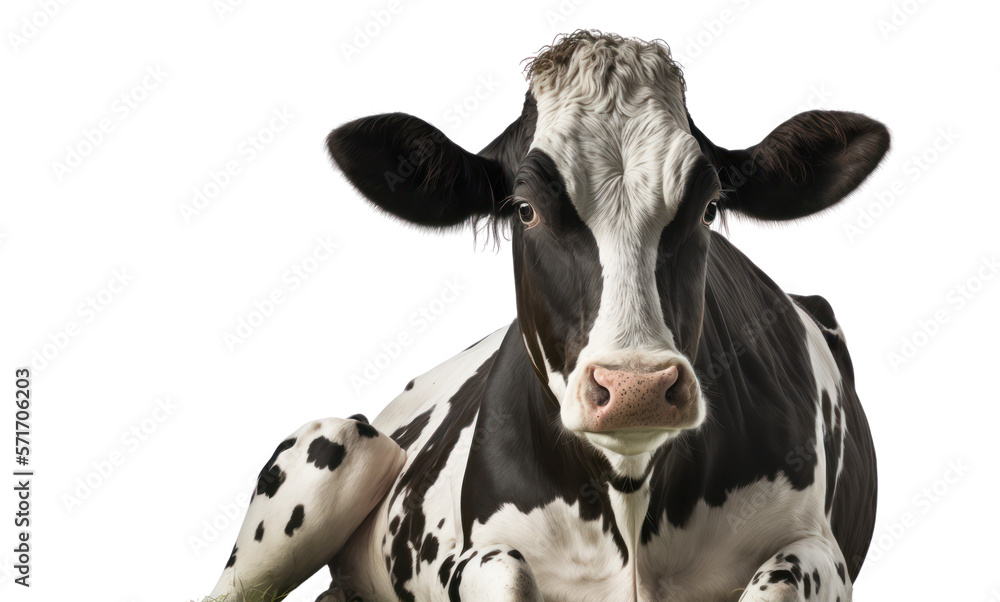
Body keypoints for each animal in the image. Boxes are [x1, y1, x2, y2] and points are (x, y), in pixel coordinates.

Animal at [203, 31, 887, 602]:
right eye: (525, 209)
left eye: (708, 206)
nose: (636, 389)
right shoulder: (478, 554)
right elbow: (506, 572)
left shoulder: (816, 551)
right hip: (334, 447)